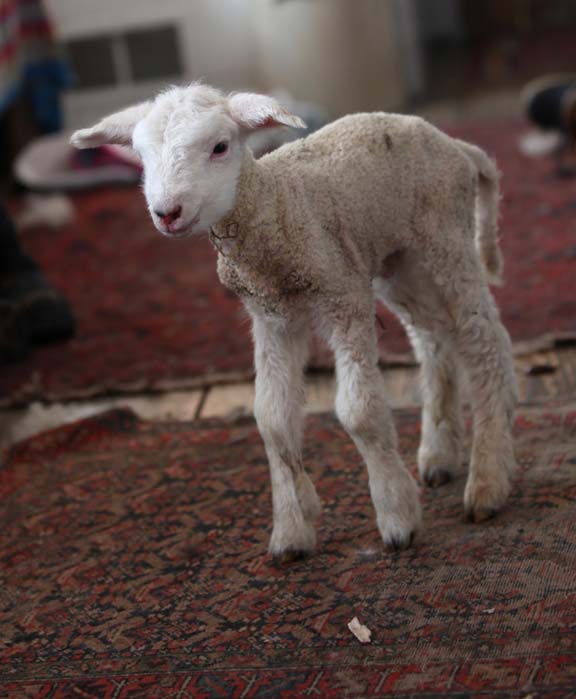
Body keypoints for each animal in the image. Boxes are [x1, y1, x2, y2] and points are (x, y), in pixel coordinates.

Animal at [71, 84, 518, 562]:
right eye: (140, 156)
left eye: (220, 147)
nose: (167, 212)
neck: (277, 204)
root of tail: (456, 146)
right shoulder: (272, 320)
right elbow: (271, 419)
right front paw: (292, 527)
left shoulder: (344, 300)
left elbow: (359, 413)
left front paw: (397, 518)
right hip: (400, 259)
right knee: (433, 338)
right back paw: (439, 453)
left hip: (445, 240)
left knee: (483, 341)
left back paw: (488, 479)